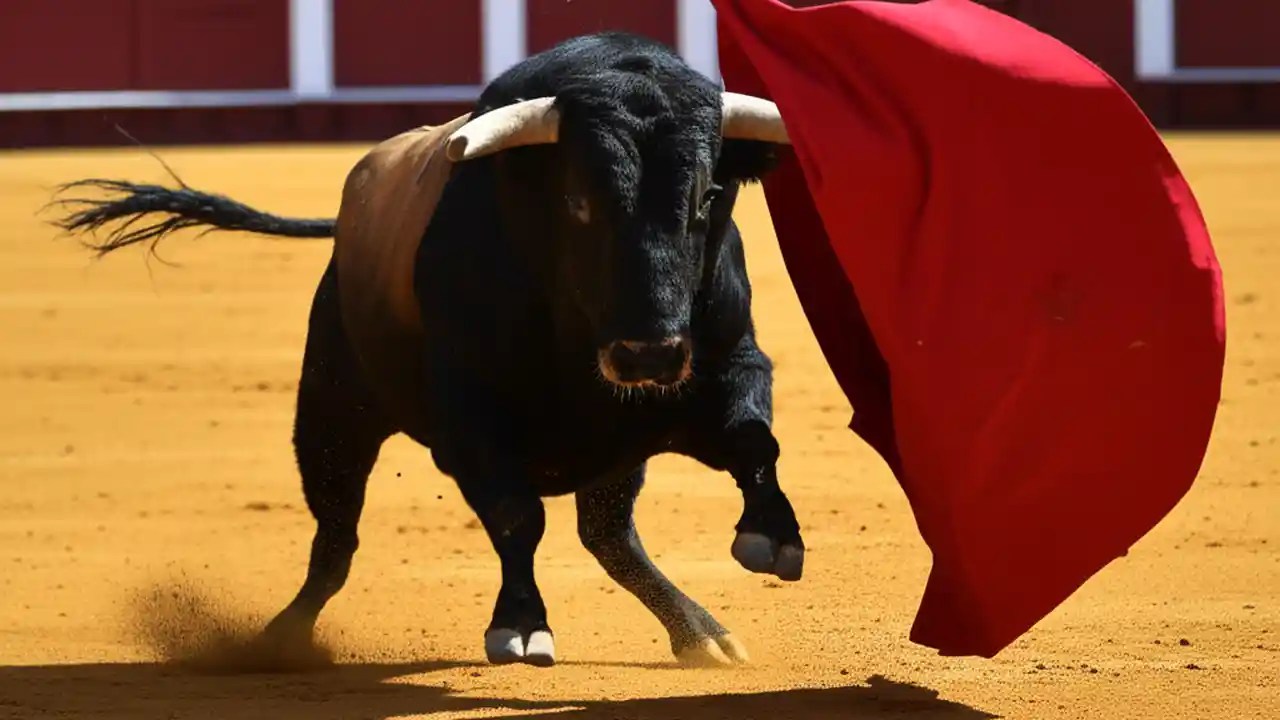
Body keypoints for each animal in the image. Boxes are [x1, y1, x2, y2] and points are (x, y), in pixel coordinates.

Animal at [54, 32, 805, 668]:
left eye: (707, 197)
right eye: (576, 201)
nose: (646, 356)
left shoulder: (728, 366)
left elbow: (754, 440)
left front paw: (775, 538)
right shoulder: (467, 420)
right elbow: (517, 514)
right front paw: (521, 627)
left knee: (608, 534)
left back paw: (700, 633)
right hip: (331, 408)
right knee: (336, 537)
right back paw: (278, 641)